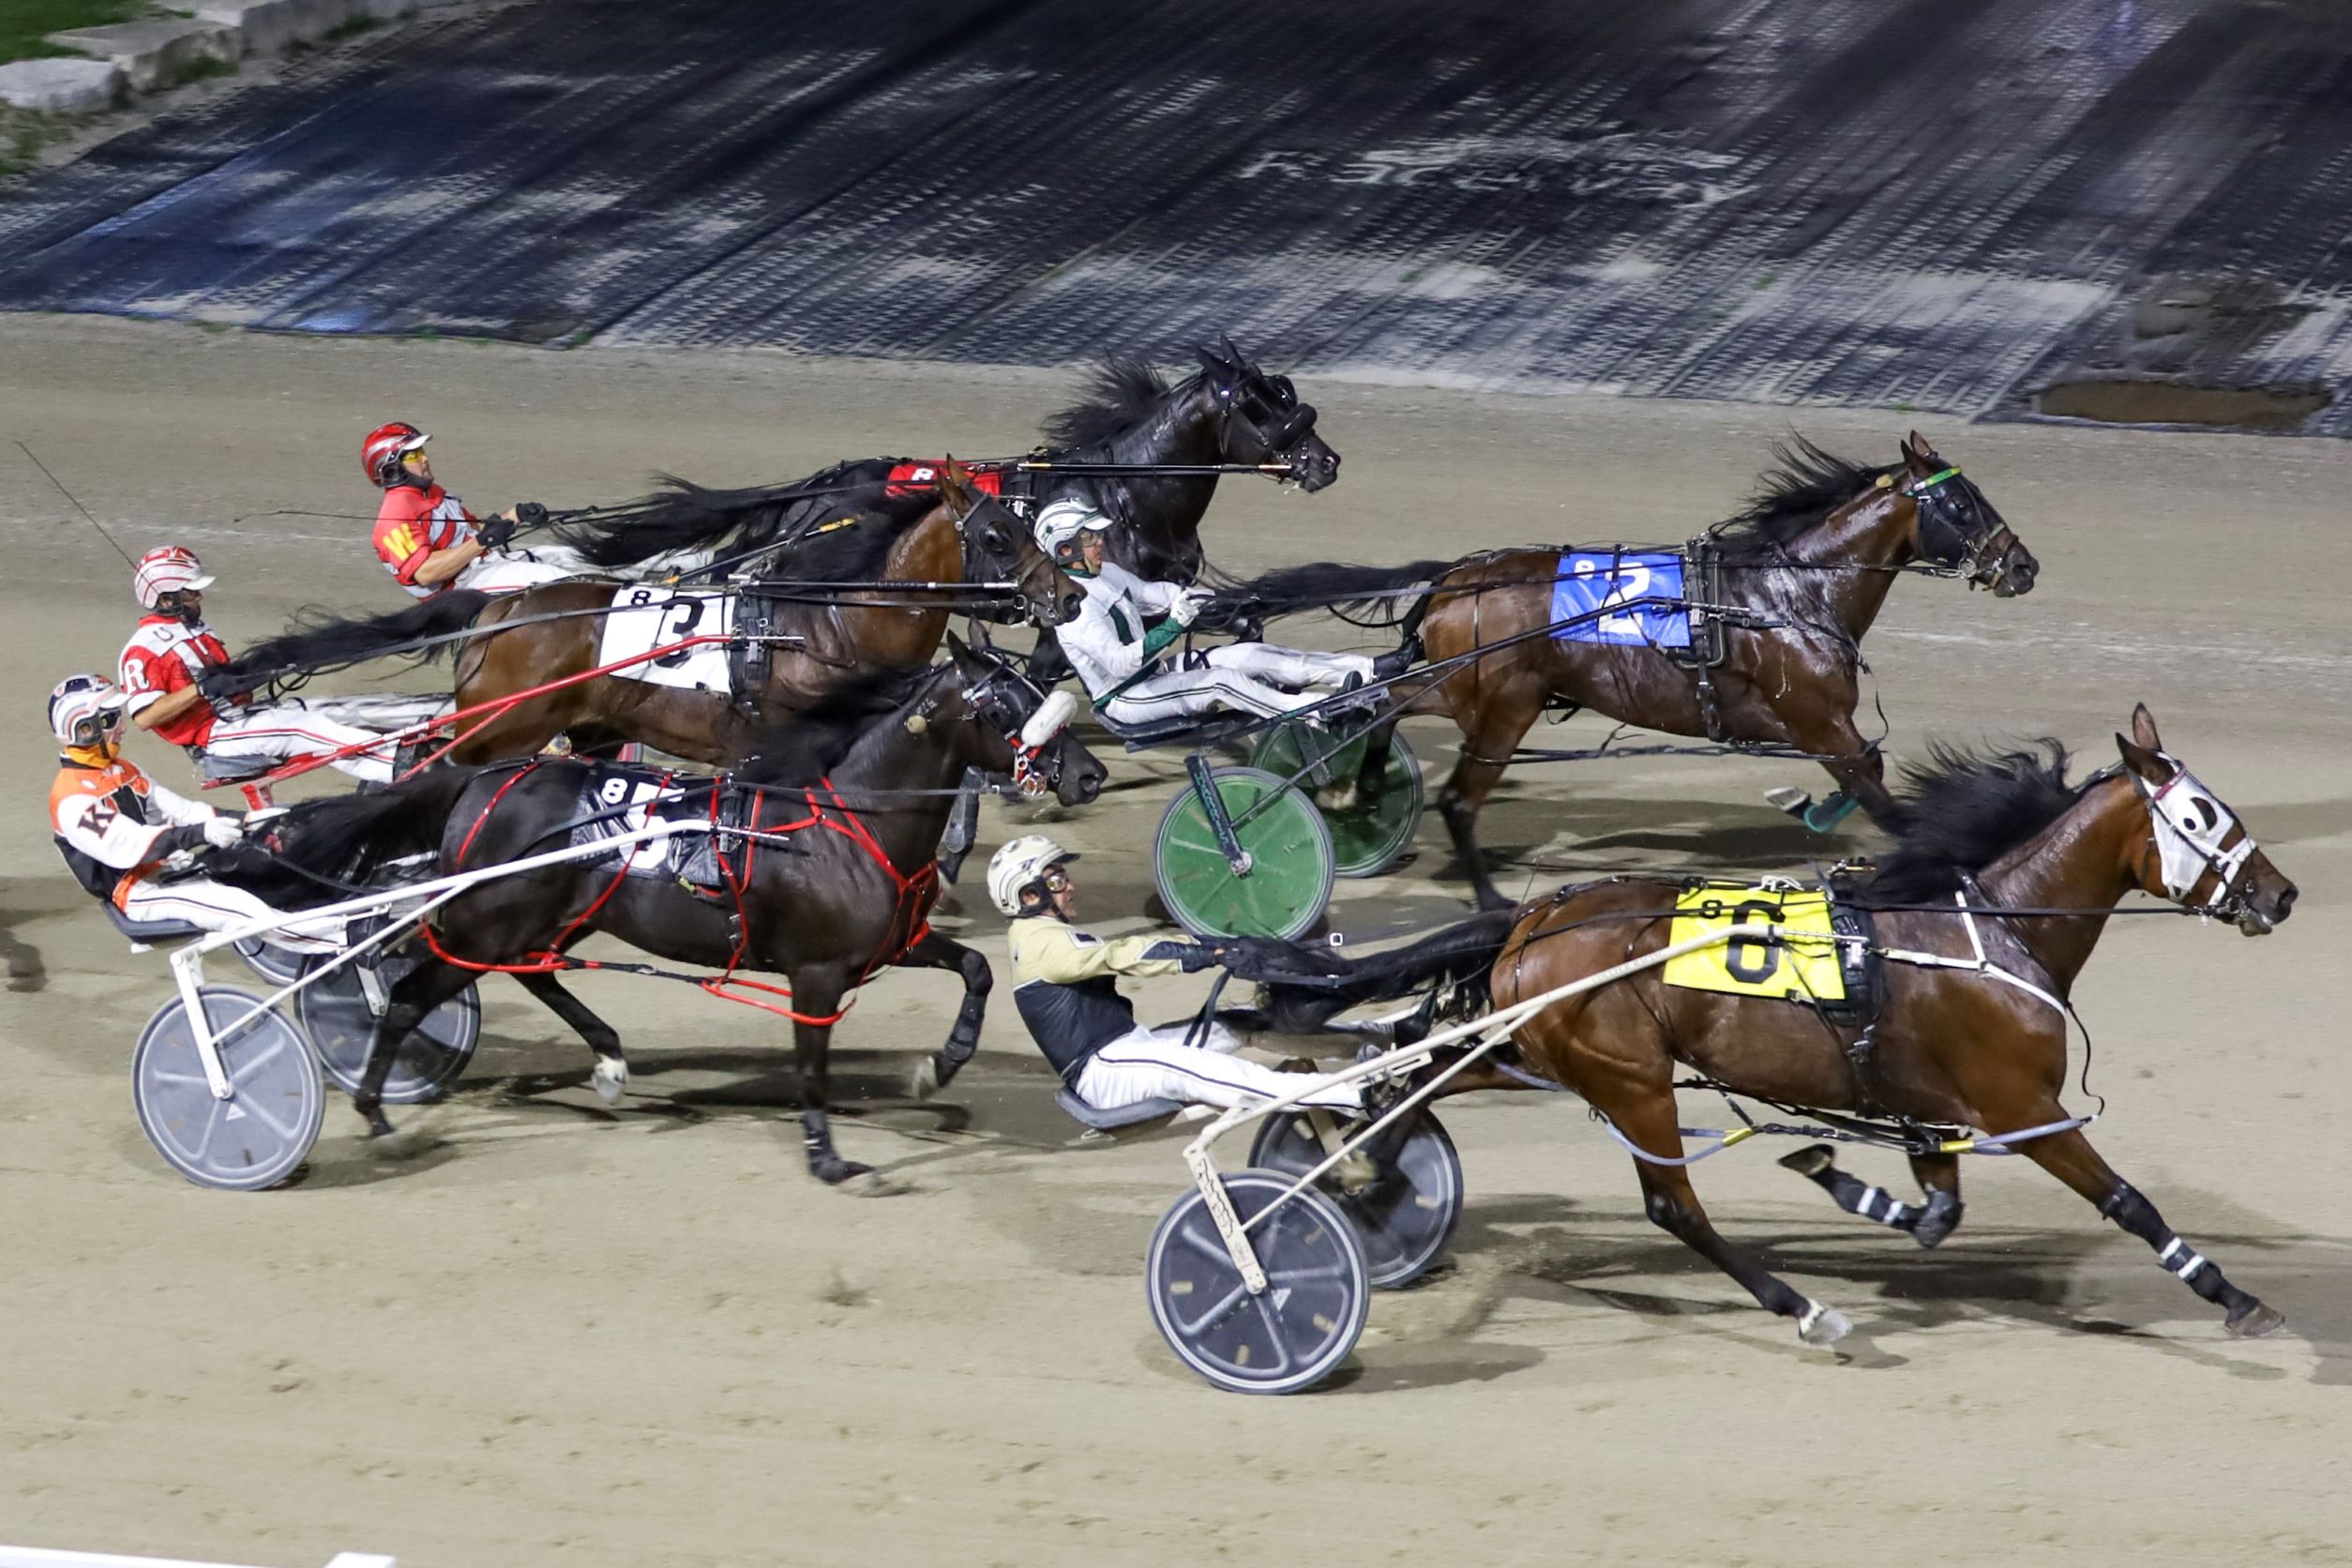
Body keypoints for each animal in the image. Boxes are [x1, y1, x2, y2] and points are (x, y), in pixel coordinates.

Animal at [216, 466, 1079, 767]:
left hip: (584, 724)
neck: (824, 627)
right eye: (997, 537)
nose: (1067, 595)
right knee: (426, 758)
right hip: (503, 720)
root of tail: (504, 603)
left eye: (1024, 524)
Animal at [241, 636, 1107, 1186]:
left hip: (544, 919)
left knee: (532, 974)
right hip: (485, 921)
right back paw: (379, 1118)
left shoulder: (892, 942)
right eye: (1010, 705)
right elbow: (811, 1065)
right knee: (410, 996)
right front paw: (829, 1158)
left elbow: (975, 969)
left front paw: (940, 1065)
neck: (845, 822)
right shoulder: (817, 972)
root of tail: (483, 780)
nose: (1090, 773)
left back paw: (609, 1060)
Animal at [1216, 433, 2040, 909]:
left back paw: (1356, 793)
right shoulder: (1818, 719)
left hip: (1460, 687)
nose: (2024, 567)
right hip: (1503, 705)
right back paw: (1490, 900)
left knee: (1379, 702)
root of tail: (1454, 577)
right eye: (1962, 503)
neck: (1787, 597)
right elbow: (1880, 792)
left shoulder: (1820, 725)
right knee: (1455, 796)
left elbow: (1867, 775)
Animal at [1243, 705, 2295, 1344]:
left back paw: (1358, 1173)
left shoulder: (1934, 1109)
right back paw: (1801, 1306)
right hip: (1633, 1077)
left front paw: (1838, 1177)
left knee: (1416, 1083)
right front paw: (2234, 1294)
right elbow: (2128, 1201)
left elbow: (1937, 1212)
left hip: (1537, 1046)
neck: (1990, 928)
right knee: (1673, 1207)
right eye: (2203, 815)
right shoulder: (2019, 1105)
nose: (2280, 895)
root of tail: (1538, 917)